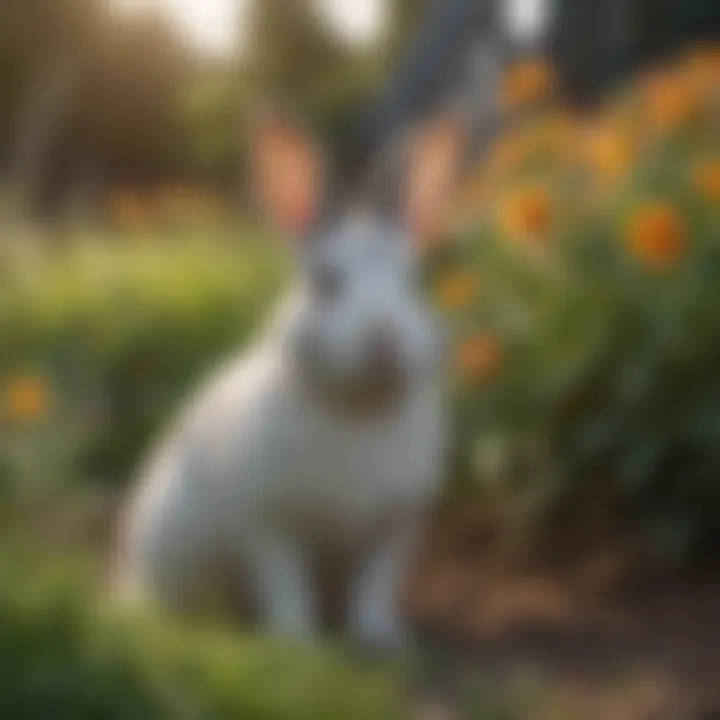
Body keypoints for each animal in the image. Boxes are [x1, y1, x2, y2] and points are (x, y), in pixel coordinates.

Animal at [116, 109, 466, 648]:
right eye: (325, 282)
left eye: (415, 282)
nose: (383, 341)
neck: (358, 407)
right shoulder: (271, 527)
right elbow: (286, 586)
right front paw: (296, 641)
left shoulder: (395, 529)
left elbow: (375, 588)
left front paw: (382, 638)